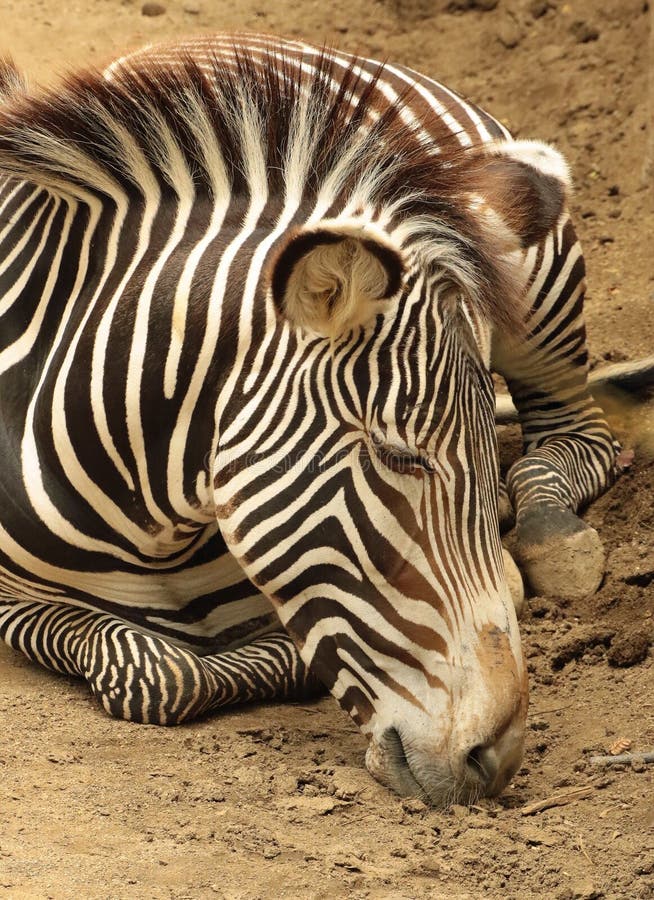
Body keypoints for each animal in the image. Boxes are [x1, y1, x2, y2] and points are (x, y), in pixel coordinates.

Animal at [0, 34, 651, 807]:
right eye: (399, 458)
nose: (498, 758)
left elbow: (288, 652)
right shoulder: (16, 599)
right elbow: (167, 670)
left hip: (535, 289)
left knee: (579, 434)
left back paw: (550, 535)